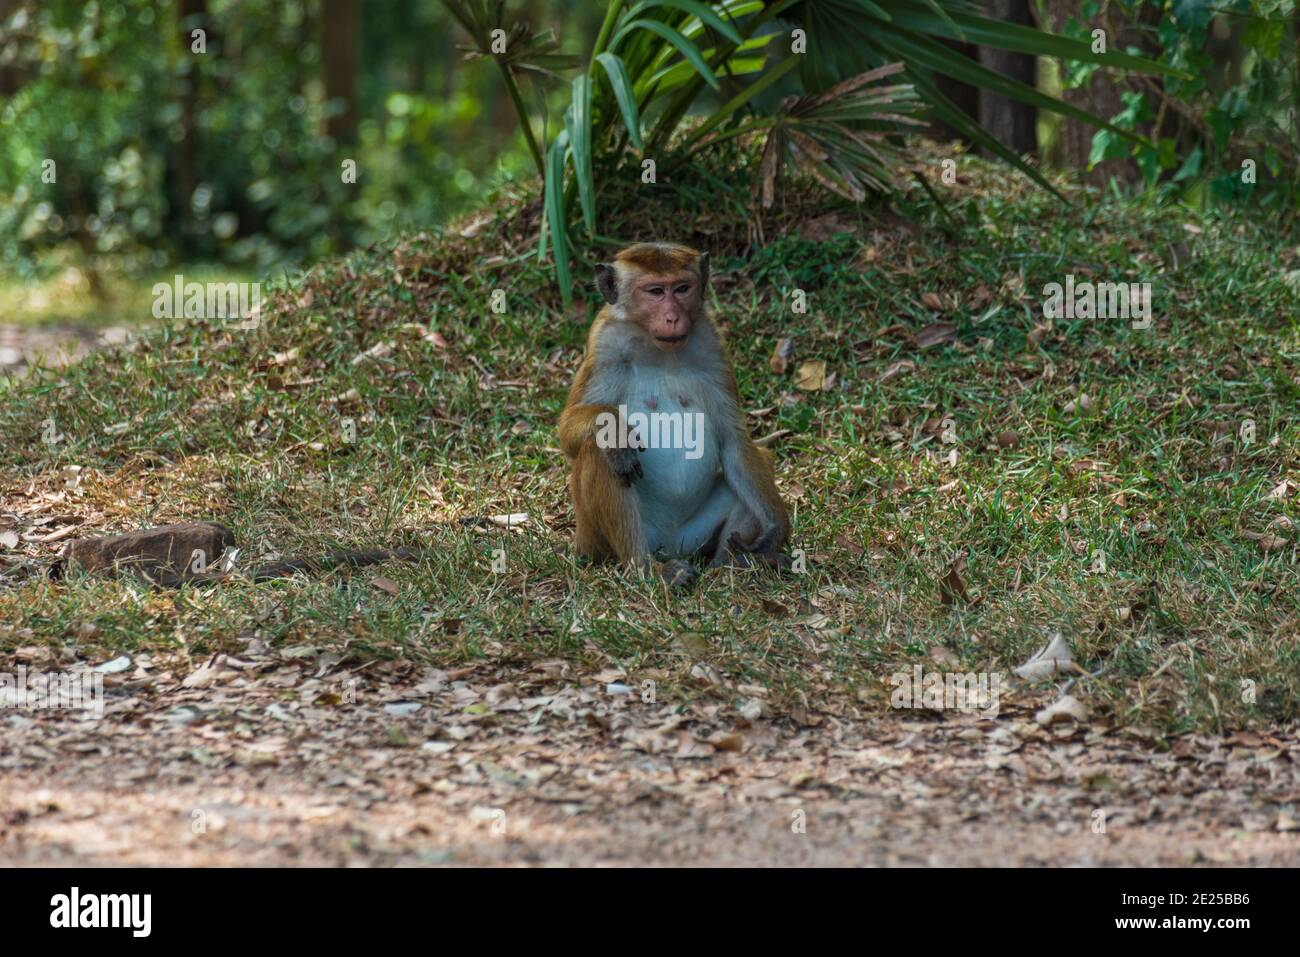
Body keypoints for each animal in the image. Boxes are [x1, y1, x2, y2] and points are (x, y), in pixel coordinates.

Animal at [559, 242, 791, 590]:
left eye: (682, 288)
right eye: (655, 291)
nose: (673, 317)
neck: (657, 350)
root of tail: (669, 545)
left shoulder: (712, 346)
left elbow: (733, 441)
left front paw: (775, 531)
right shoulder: (604, 347)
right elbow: (569, 433)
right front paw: (616, 430)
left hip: (693, 537)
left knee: (755, 461)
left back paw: (732, 565)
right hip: (596, 540)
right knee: (599, 452)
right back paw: (647, 570)